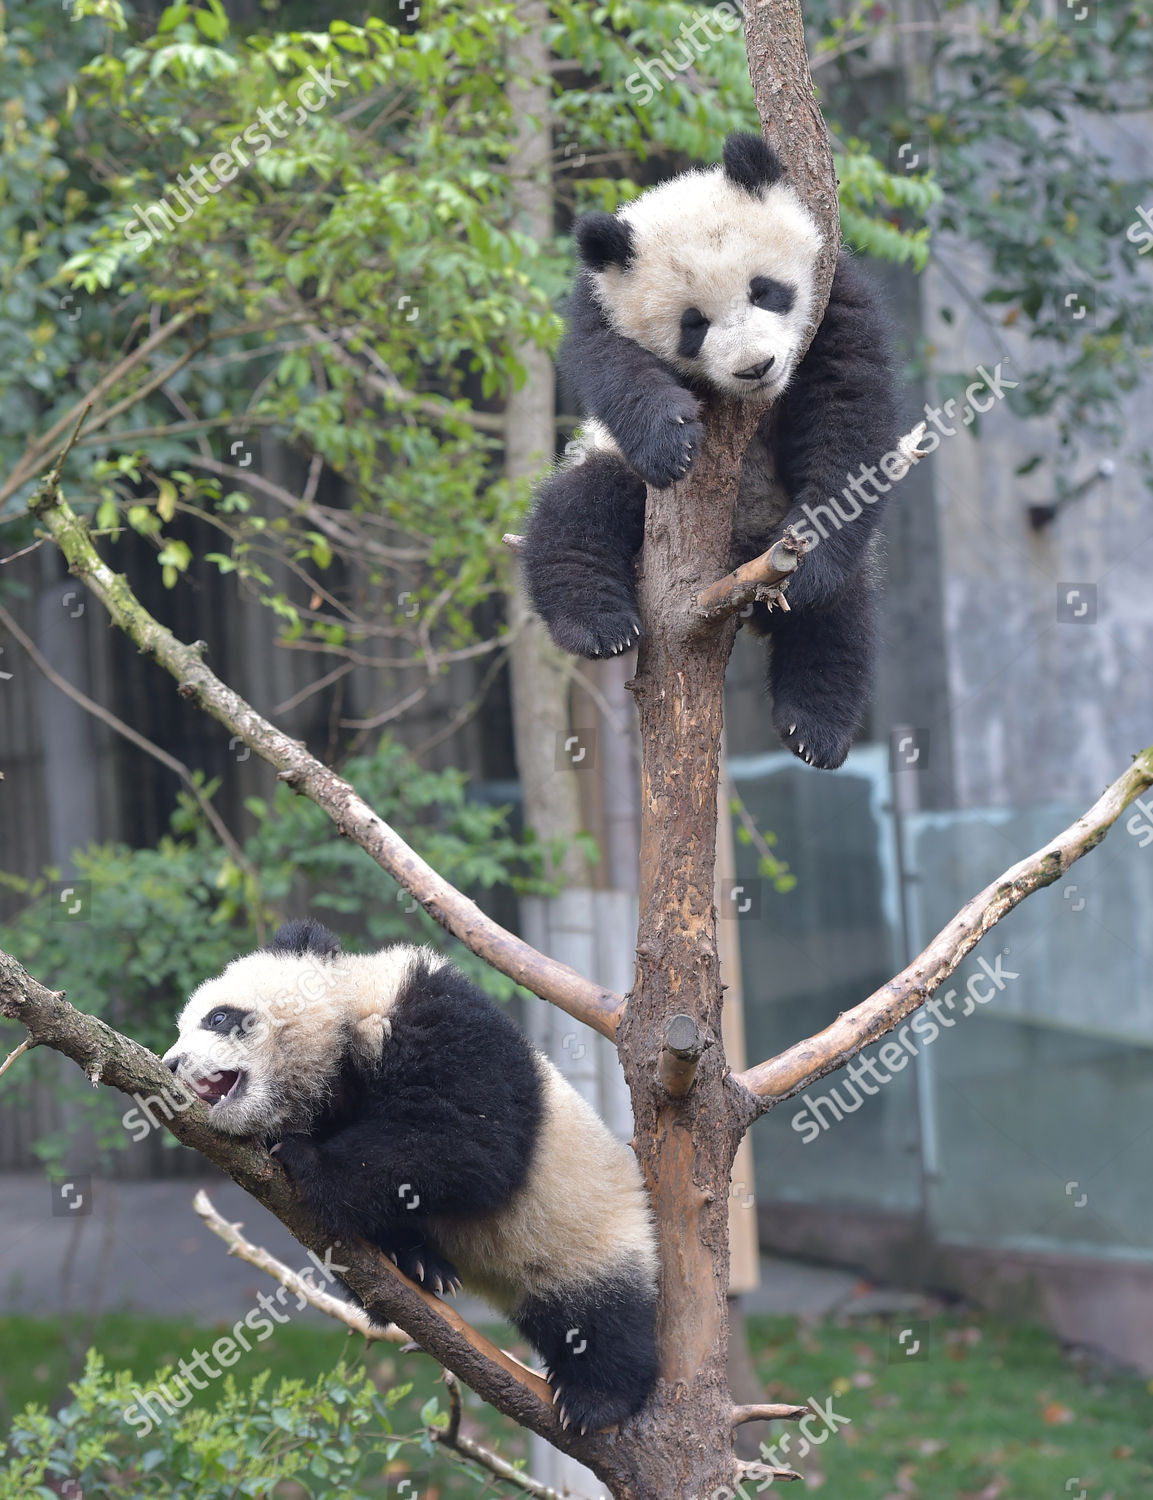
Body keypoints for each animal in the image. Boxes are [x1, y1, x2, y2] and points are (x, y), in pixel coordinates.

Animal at [162, 917, 659, 1435]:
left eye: (218, 1017)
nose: (171, 1064)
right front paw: (411, 1258)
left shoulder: (437, 1018)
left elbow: (466, 1142)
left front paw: (304, 1159)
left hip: (586, 1227)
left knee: (601, 1315)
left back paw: (594, 1398)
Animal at [521, 131, 902, 771]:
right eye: (693, 323)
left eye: (765, 291)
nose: (757, 367)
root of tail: (738, 571)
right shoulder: (598, 306)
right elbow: (608, 365)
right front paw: (669, 439)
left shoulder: (836, 296)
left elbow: (850, 409)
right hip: (612, 475)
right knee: (575, 515)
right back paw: (597, 626)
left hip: (788, 533)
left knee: (841, 619)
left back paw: (815, 726)